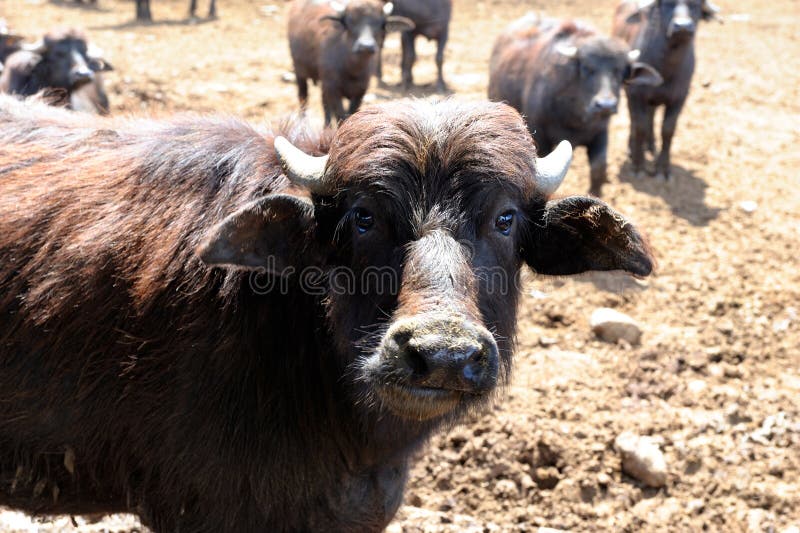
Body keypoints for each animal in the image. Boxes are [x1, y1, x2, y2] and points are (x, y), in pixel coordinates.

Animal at [489, 14, 662, 196]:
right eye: (587, 68)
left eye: (621, 71)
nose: (606, 105)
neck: (576, 117)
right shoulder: (540, 137)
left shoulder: (600, 132)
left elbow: (598, 167)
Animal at [613, 0, 720, 181]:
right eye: (668, 4)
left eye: (695, 5)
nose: (683, 26)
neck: (665, 69)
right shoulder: (635, 95)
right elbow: (639, 126)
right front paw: (638, 166)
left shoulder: (680, 97)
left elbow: (668, 129)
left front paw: (663, 169)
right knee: (635, 122)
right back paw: (633, 148)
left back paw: (650, 145)